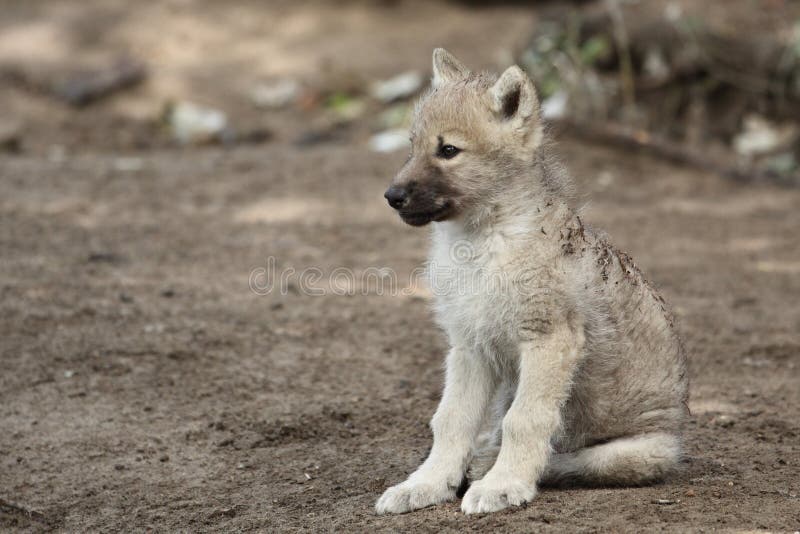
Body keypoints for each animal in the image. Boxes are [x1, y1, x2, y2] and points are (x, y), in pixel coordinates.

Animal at [375, 49, 689, 515]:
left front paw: (503, 484)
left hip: (635, 452)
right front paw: (426, 484)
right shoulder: (469, 346)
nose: (392, 197)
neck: (480, 244)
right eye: (411, 147)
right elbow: (450, 419)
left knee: (568, 459)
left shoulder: (548, 340)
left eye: (448, 150)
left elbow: (524, 420)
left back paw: (489, 471)